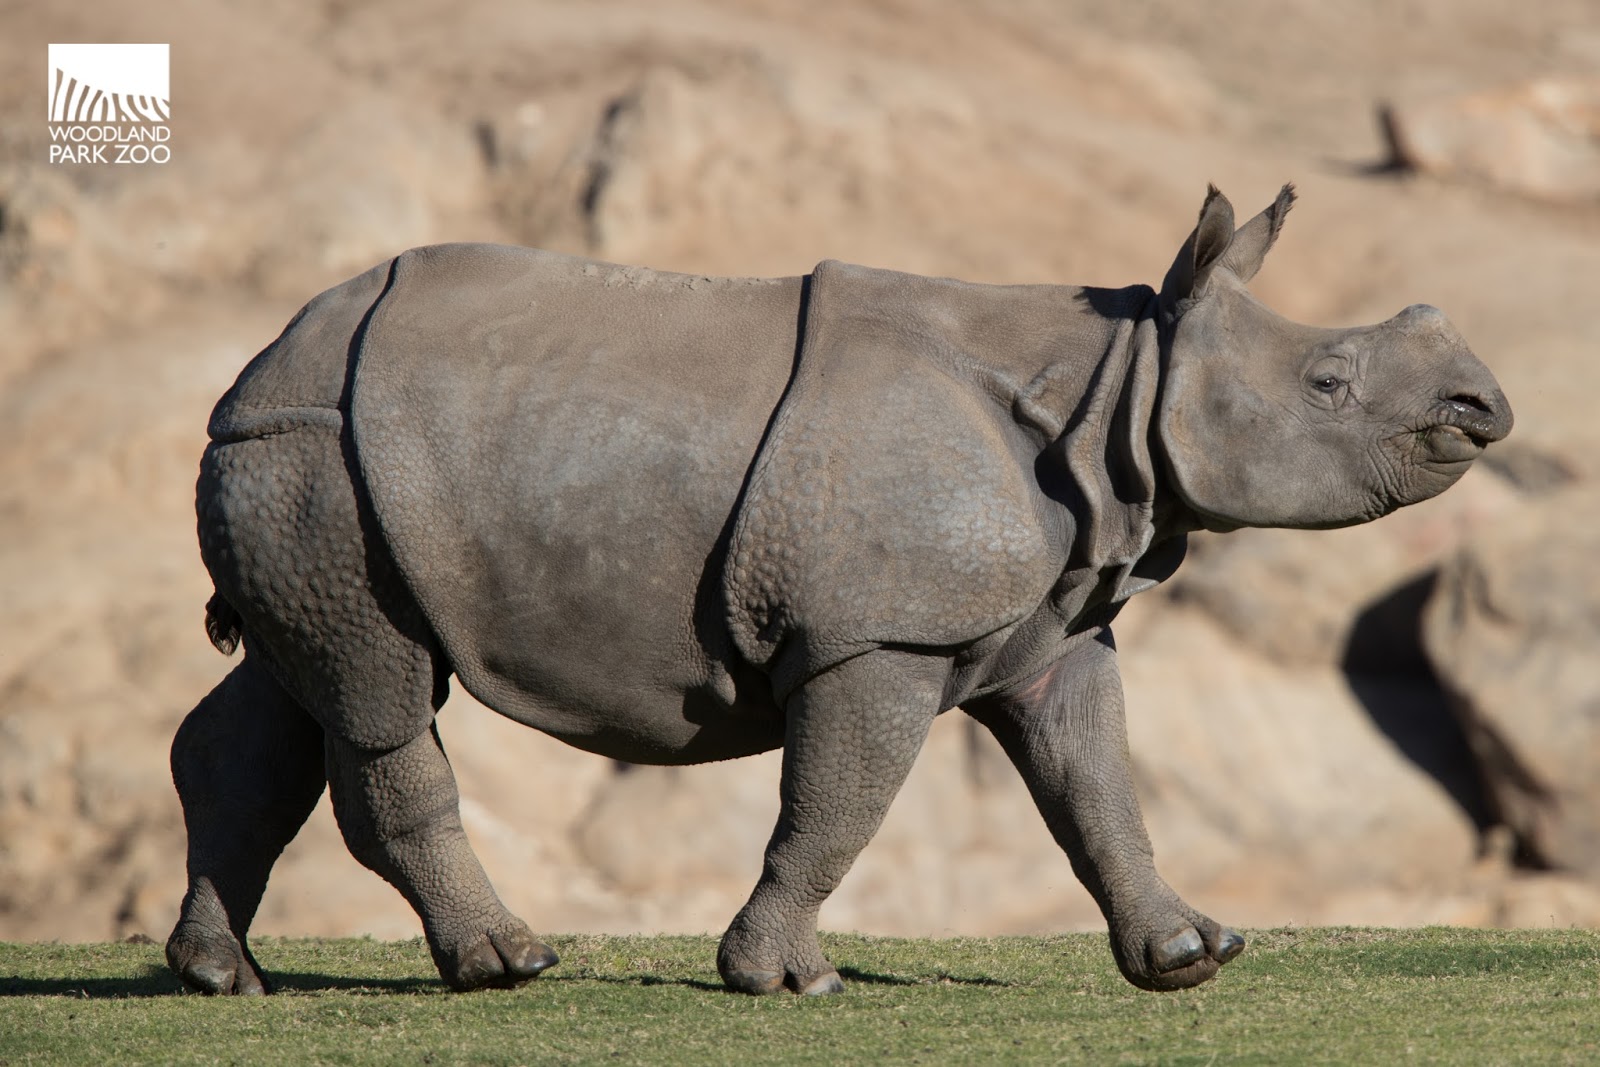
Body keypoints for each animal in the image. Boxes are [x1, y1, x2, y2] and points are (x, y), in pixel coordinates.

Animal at [167, 184, 1512, 997]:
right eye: (1328, 384)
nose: (1482, 407)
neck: (1121, 388)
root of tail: (257, 362)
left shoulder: (1054, 623)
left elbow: (1095, 786)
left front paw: (1188, 953)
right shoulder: (878, 634)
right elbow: (839, 800)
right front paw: (785, 979)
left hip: (309, 457)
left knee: (289, 693)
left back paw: (220, 976)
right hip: (323, 451)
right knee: (380, 691)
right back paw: (510, 962)